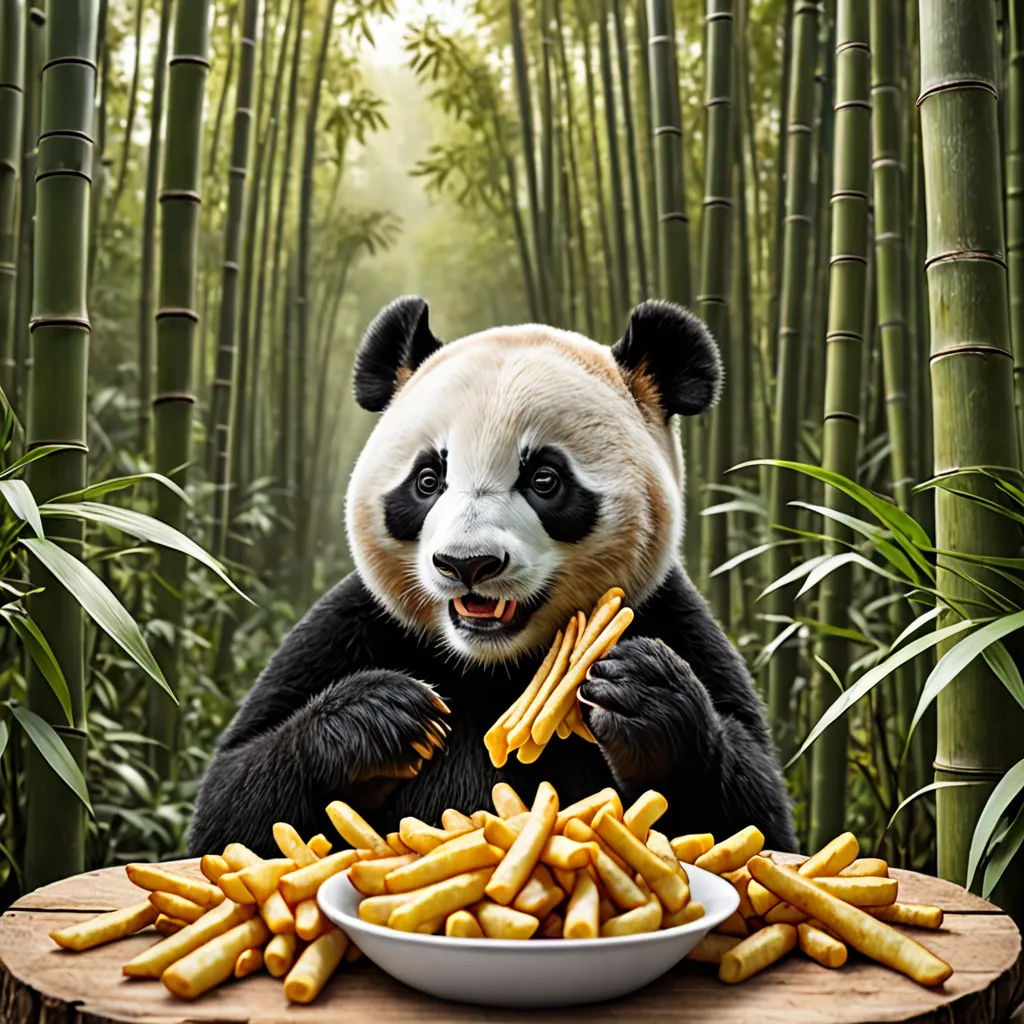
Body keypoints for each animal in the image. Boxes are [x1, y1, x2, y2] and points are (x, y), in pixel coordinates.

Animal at [188, 296, 796, 857]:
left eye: (545, 479)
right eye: (427, 479)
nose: (467, 564)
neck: (493, 665)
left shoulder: (670, 614)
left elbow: (756, 818)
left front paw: (641, 692)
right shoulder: (356, 624)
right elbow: (230, 802)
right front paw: (382, 717)